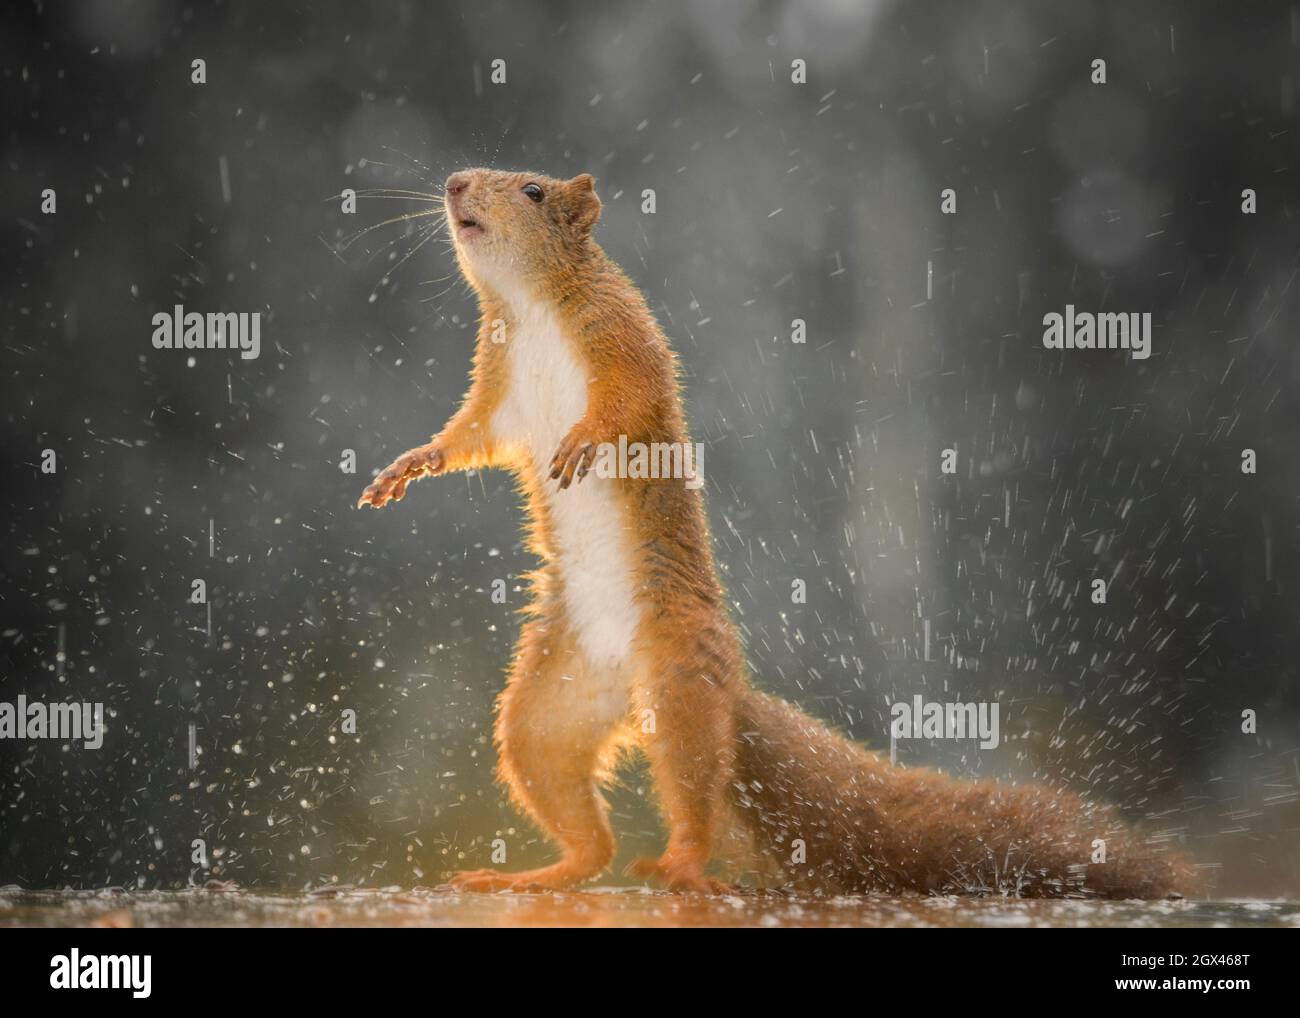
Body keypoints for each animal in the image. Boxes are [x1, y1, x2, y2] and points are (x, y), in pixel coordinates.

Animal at [357, 168, 1193, 898]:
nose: (454, 184)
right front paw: (410, 464)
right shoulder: (498, 386)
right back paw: (535, 875)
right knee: (582, 827)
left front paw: (585, 439)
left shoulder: (624, 339)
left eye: (532, 189)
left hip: (681, 682)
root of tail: (704, 689)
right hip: (544, 711)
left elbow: (625, 401)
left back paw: (683, 867)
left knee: (692, 788)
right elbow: (469, 436)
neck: (529, 311)